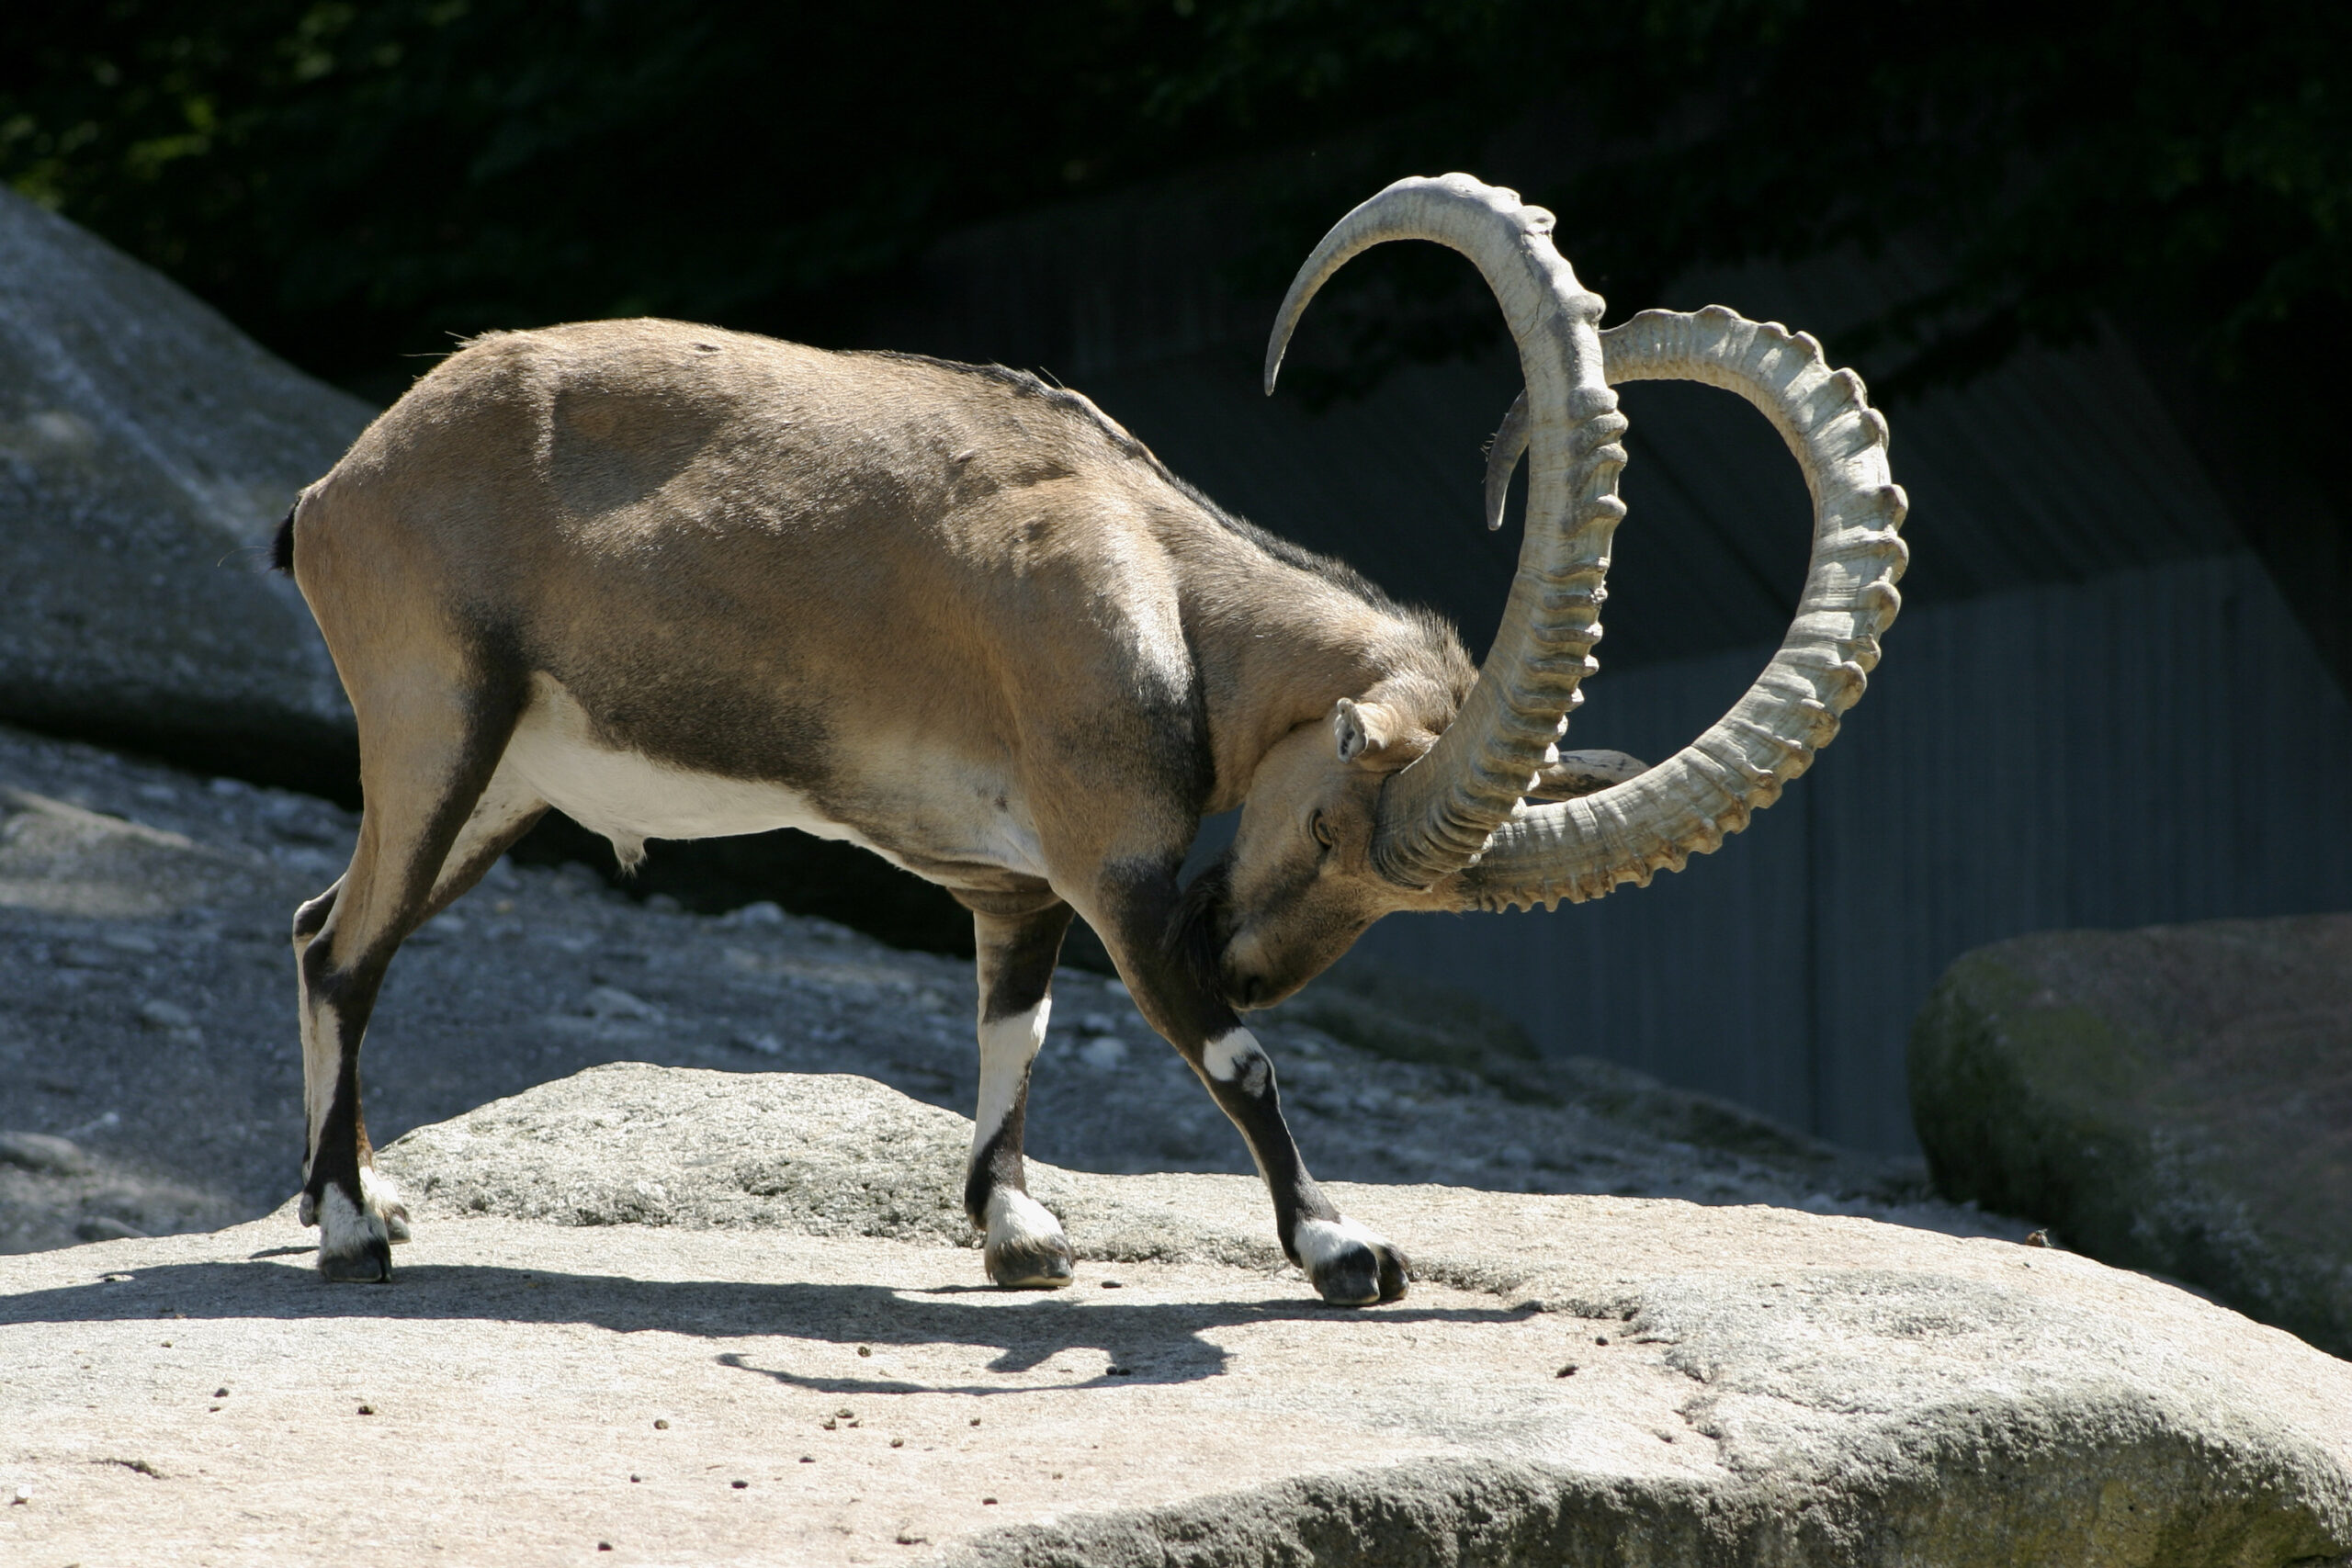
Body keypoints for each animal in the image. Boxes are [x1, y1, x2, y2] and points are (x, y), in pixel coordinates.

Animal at [274, 175, 1905, 1302]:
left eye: (1413, 898)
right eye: (1330, 817)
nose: (1245, 950)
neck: (1162, 580)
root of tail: (342, 484)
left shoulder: (1021, 880)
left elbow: (1018, 1026)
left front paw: (1017, 1227)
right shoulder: (1118, 870)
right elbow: (1232, 1060)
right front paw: (1344, 1248)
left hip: (505, 783)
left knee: (314, 925)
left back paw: (345, 1194)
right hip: (438, 721)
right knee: (351, 947)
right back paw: (354, 1231)